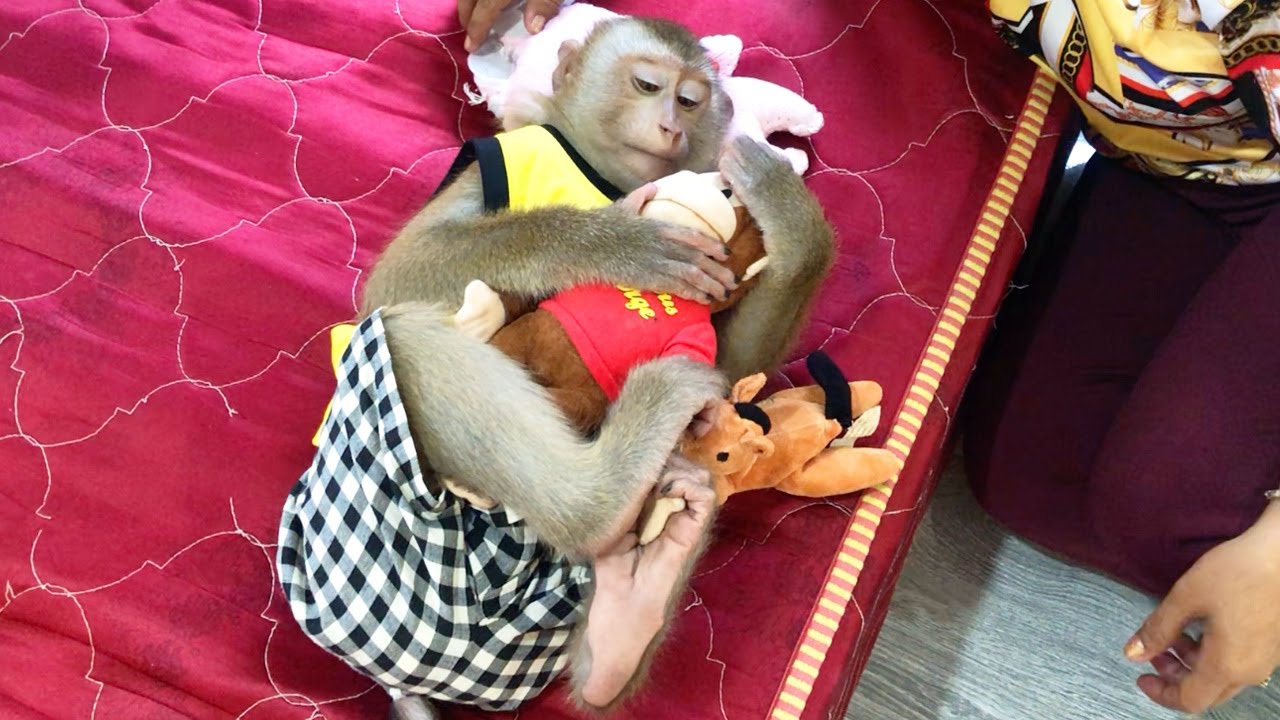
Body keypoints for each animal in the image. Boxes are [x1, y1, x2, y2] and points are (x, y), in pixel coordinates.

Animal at [353, 15, 835, 718]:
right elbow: (399, 279)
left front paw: (787, 213)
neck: (600, 172)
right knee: (406, 334)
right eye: (649, 85)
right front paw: (620, 239)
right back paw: (600, 497)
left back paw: (625, 623)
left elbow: (733, 361)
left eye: (691, 100)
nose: (672, 126)